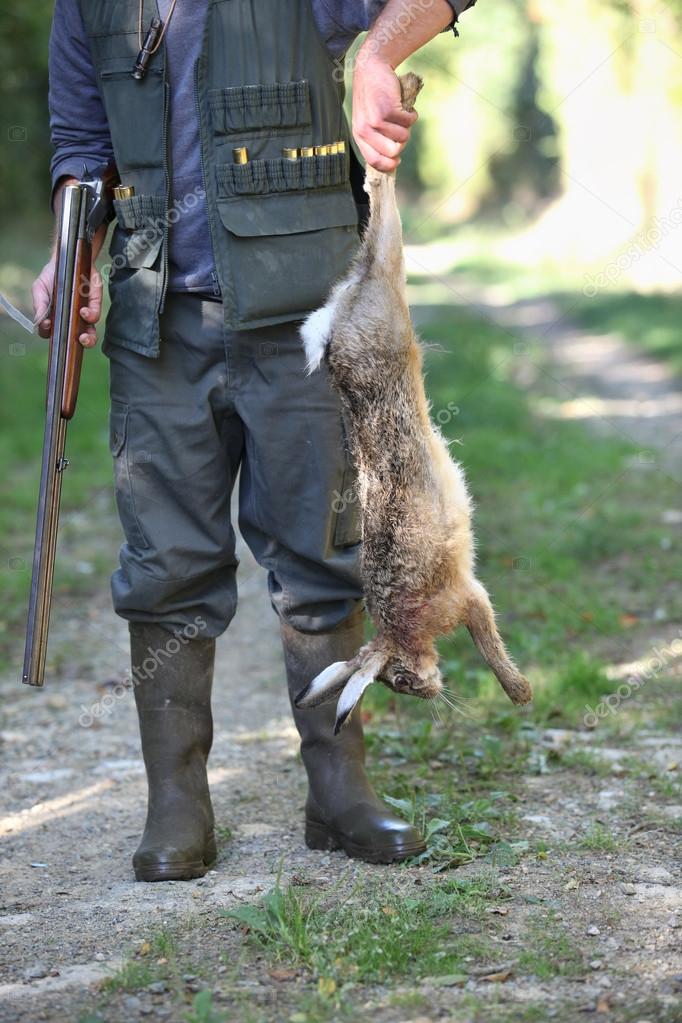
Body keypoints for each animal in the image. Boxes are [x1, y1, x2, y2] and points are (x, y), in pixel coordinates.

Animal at [296, 72, 532, 734]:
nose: (429, 692)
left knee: (381, 209)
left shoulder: (464, 597)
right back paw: (405, 92)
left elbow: (486, 635)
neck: (402, 629)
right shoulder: (468, 593)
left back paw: (402, 94)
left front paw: (520, 691)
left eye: (396, 680)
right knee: (380, 213)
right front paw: (522, 693)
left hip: (388, 292)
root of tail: (336, 326)